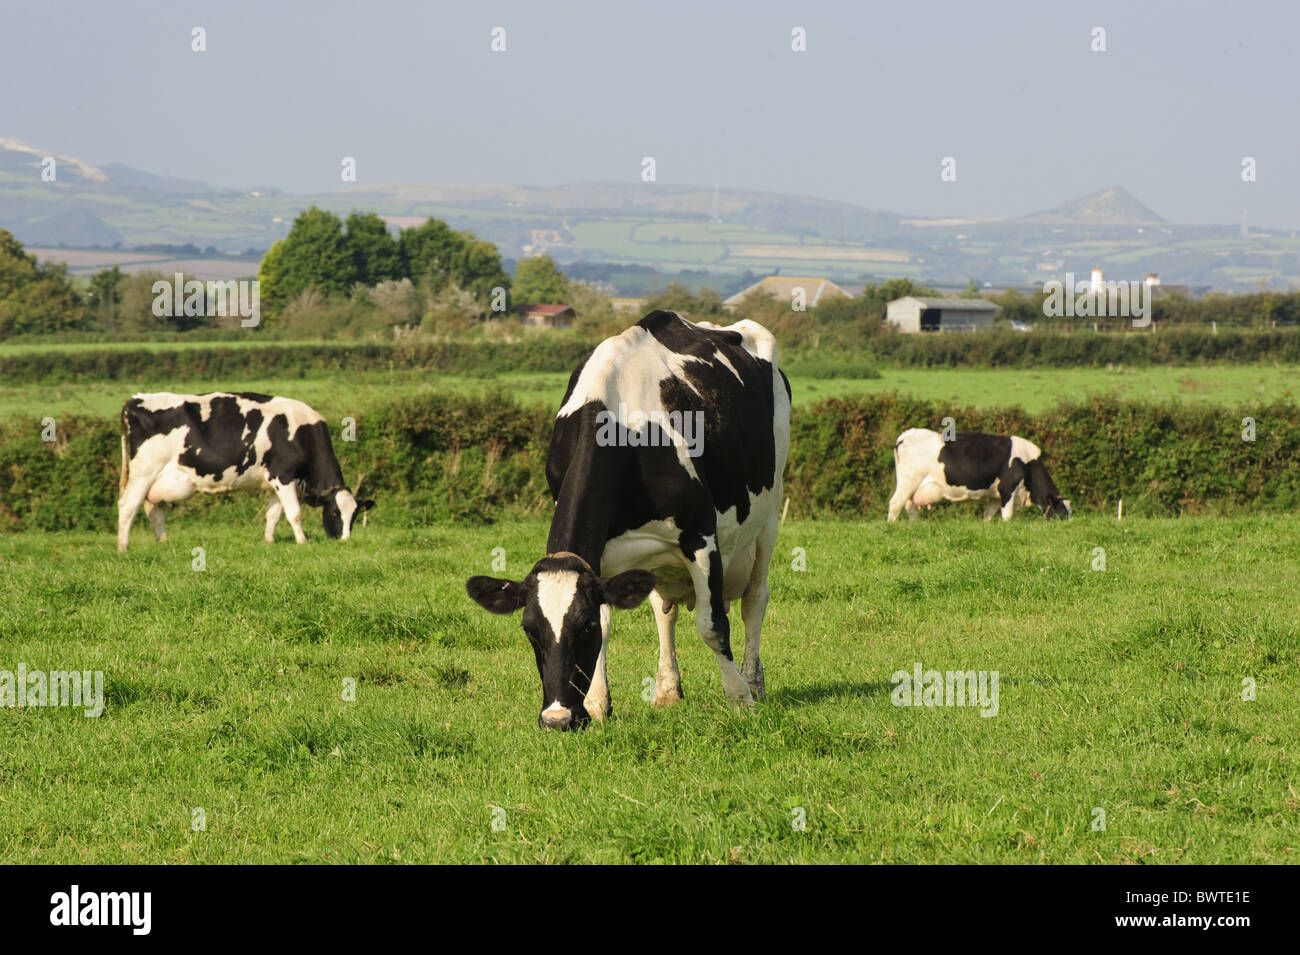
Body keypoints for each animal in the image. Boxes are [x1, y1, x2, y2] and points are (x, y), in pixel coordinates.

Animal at [117, 391, 372, 552]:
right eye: (334, 513)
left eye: (354, 516)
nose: (344, 540)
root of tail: (135, 400)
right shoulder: (283, 475)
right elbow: (294, 513)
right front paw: (302, 541)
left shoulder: (274, 482)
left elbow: (273, 515)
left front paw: (269, 541)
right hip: (144, 471)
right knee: (128, 504)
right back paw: (123, 547)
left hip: (157, 479)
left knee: (154, 508)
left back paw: (163, 542)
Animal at [465, 310, 791, 730]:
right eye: (530, 630)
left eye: (582, 628)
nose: (557, 718)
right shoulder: (603, 553)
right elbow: (614, 622)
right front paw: (596, 704)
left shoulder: (701, 535)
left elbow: (713, 624)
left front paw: (739, 700)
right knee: (665, 610)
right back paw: (667, 691)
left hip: (769, 511)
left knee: (754, 599)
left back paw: (754, 683)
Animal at [888, 428, 1071, 522]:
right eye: (1062, 512)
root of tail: (907, 435)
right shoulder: (1007, 488)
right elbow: (1008, 515)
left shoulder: (996, 495)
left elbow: (988, 515)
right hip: (908, 481)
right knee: (895, 504)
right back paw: (892, 526)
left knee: (909, 506)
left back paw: (914, 525)